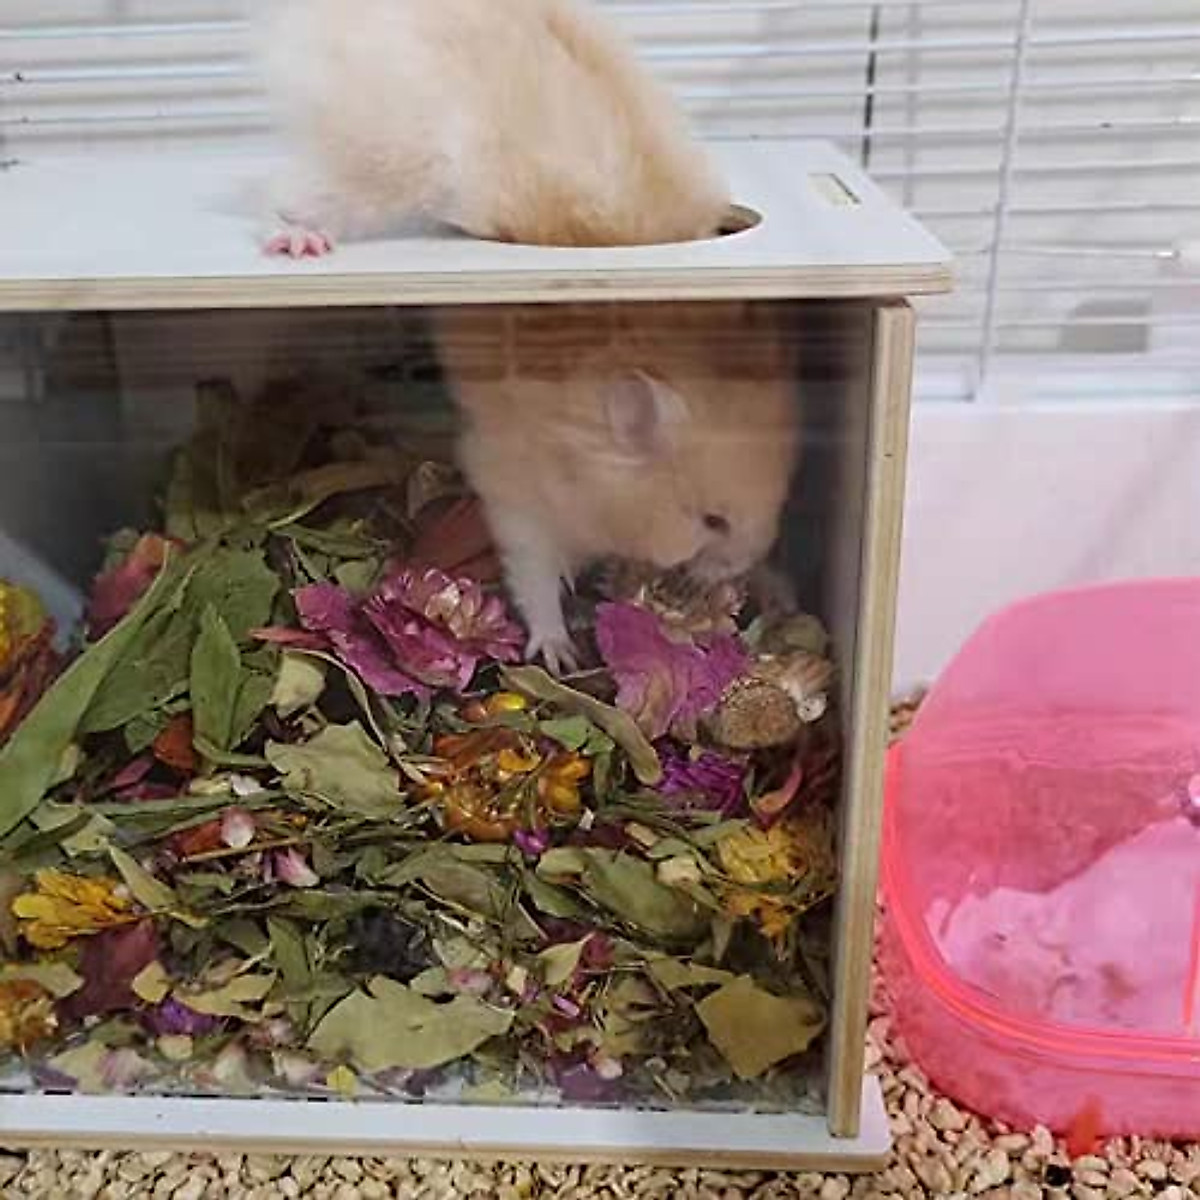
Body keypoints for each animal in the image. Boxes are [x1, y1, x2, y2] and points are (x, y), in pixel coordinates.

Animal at [434, 302, 801, 671]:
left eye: (779, 503)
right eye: (713, 521)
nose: (743, 564)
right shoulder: (519, 502)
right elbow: (536, 577)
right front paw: (562, 658)